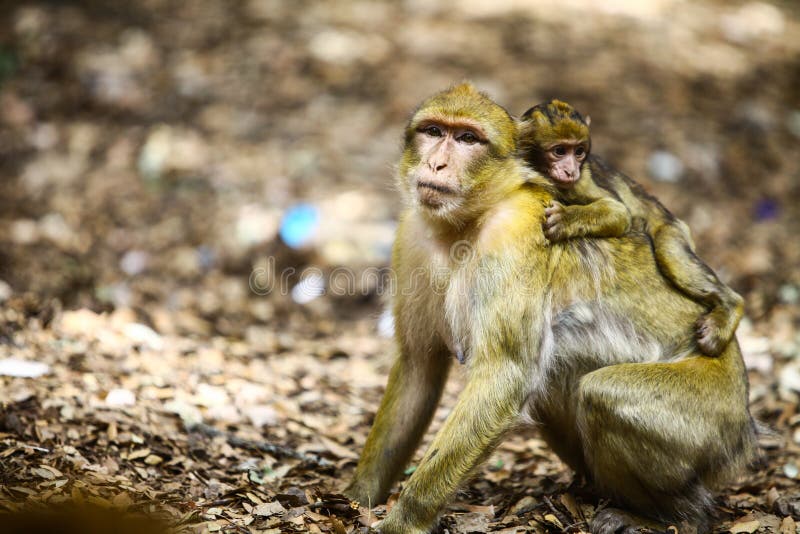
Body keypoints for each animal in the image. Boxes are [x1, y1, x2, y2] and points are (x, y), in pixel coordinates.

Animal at [517, 99, 744, 357]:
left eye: (579, 152)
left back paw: (731, 305)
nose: (570, 170)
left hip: (672, 229)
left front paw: (565, 219)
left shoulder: (580, 182)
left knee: (669, 254)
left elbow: (619, 213)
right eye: (559, 151)